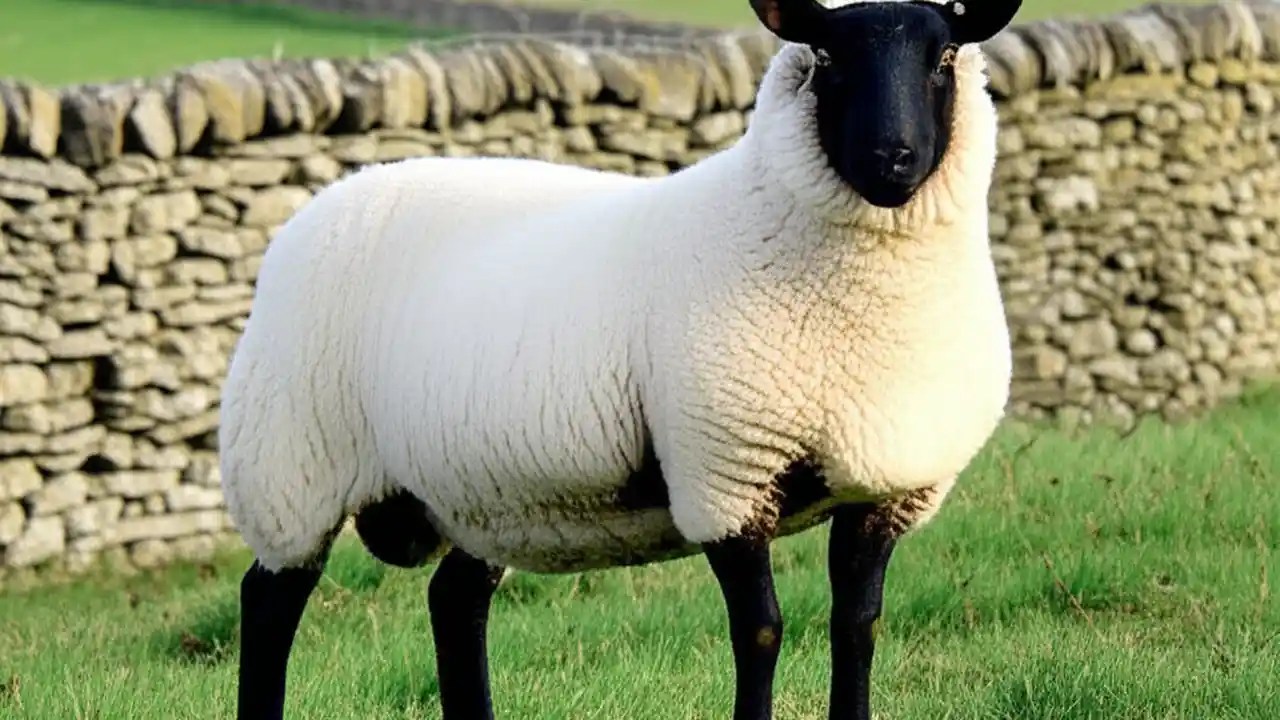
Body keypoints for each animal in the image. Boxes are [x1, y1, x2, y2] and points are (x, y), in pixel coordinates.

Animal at [221, 0, 1022, 718]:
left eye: (944, 57)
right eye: (827, 58)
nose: (893, 158)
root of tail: (323, 202)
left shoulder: (886, 487)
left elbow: (858, 627)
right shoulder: (725, 477)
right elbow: (760, 633)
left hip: (478, 488)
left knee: (454, 601)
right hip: (290, 464)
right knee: (268, 603)